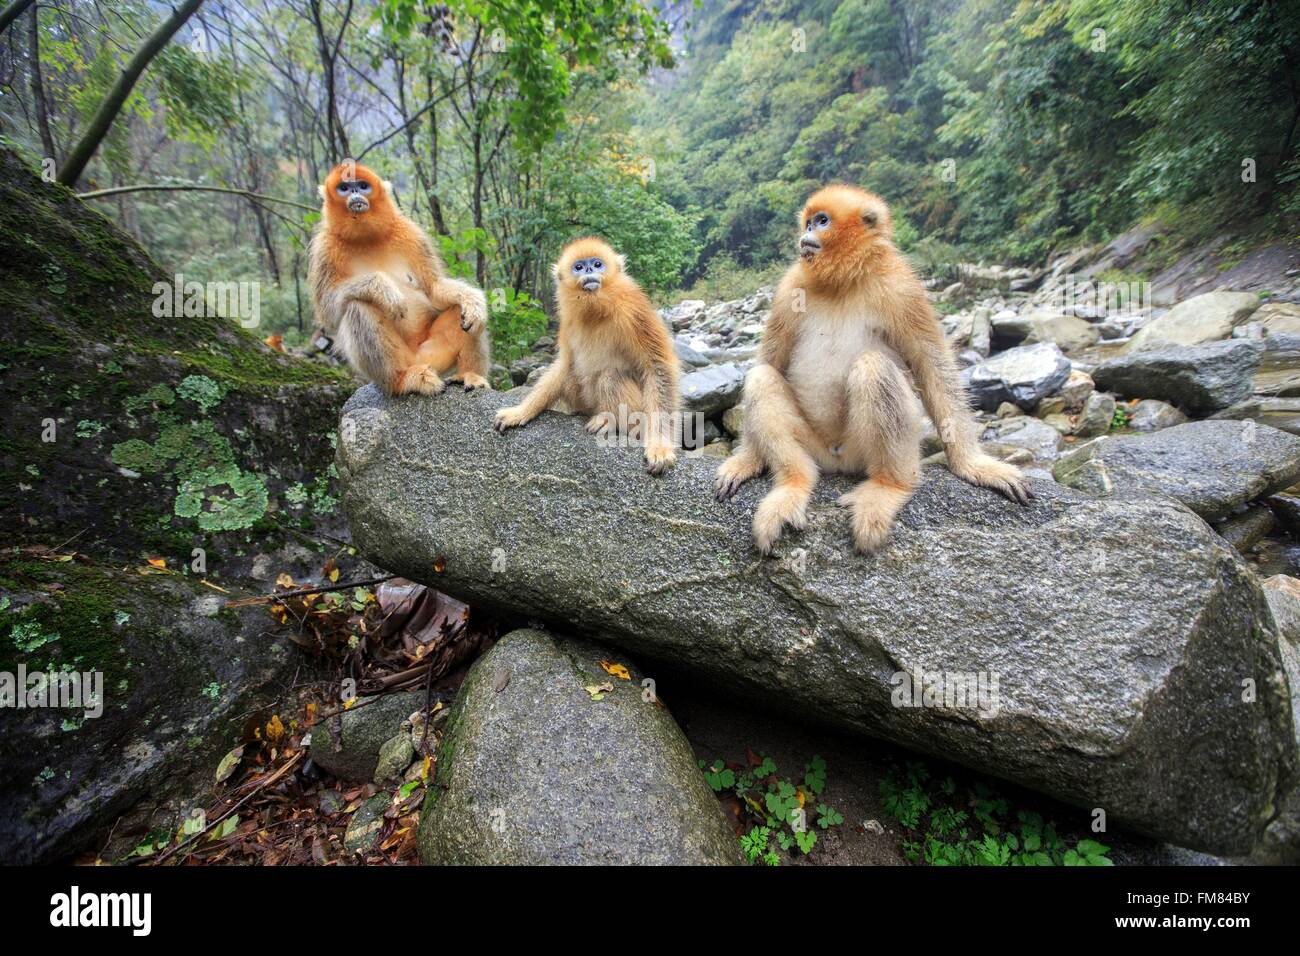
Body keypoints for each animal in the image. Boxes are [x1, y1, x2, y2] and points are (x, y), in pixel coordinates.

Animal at [308, 161, 491, 395]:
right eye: (344, 188)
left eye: (362, 185)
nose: (355, 192)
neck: (366, 237)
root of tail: (419, 361)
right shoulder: (324, 248)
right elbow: (327, 313)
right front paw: (382, 288)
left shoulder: (410, 232)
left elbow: (434, 287)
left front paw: (473, 301)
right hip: (403, 359)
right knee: (358, 306)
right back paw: (403, 380)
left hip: (433, 352)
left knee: (461, 313)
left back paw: (469, 374)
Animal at [492, 237, 680, 475]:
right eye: (579, 267)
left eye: (597, 264)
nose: (589, 270)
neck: (596, 309)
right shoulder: (567, 321)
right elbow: (565, 364)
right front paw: (520, 412)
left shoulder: (634, 309)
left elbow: (657, 367)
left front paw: (660, 446)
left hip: (640, 415)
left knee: (610, 377)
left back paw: (610, 420)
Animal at [715, 184, 1032, 554]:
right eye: (808, 222)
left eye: (822, 221)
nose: (806, 234)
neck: (843, 281)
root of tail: (837, 459)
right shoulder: (789, 287)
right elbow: (771, 361)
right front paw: (747, 459)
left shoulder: (902, 286)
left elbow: (932, 366)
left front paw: (973, 464)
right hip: (818, 449)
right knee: (763, 378)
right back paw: (794, 484)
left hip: (859, 449)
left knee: (874, 367)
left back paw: (888, 487)